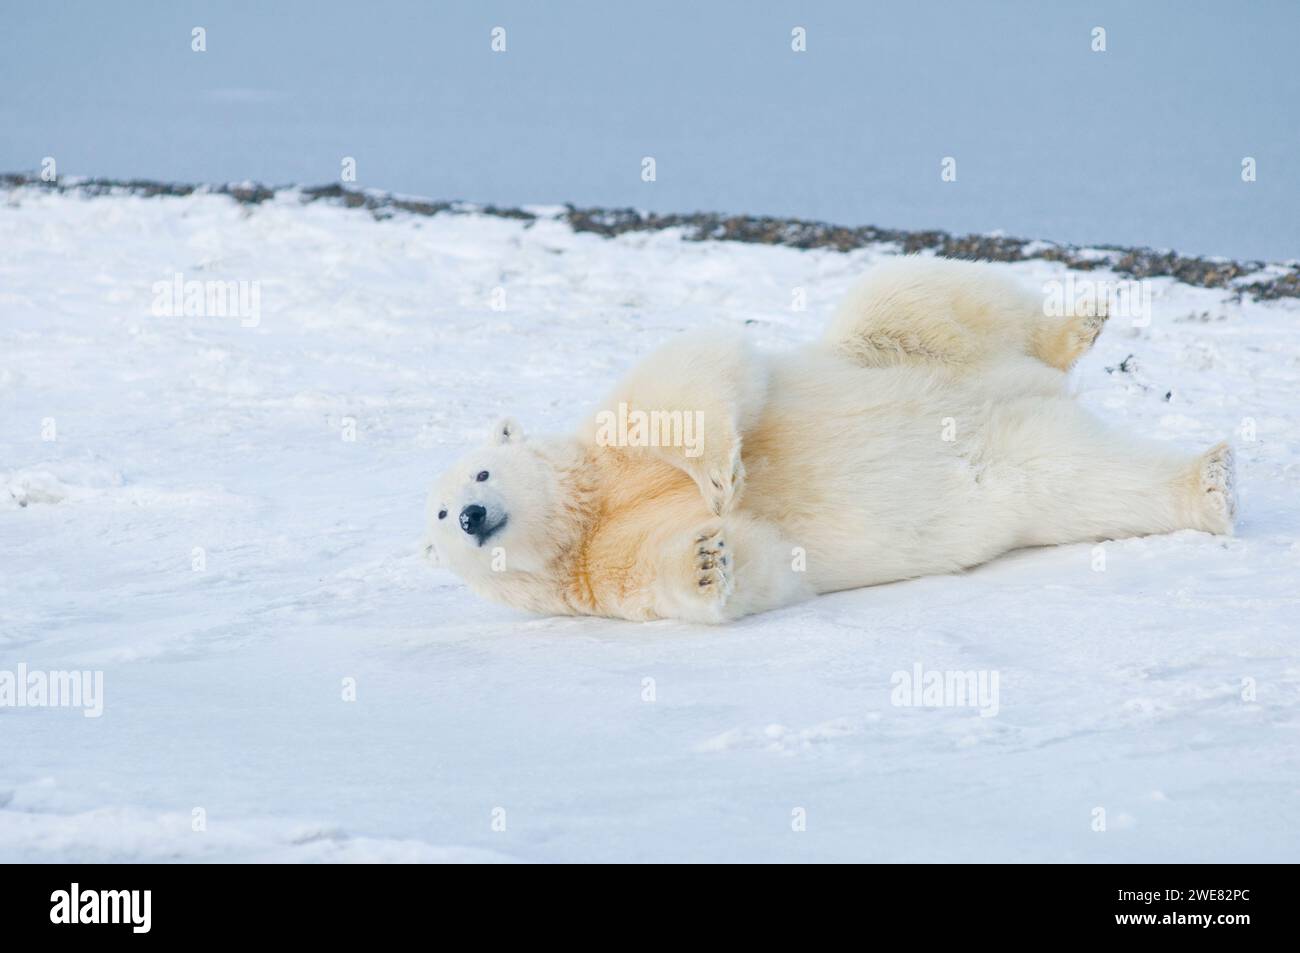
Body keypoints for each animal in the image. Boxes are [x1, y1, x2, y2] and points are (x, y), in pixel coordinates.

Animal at [424, 255, 1235, 624]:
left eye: (481, 474)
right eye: (436, 517)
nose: (468, 517)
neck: (586, 513)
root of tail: (1023, 387)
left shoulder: (604, 445)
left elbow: (686, 376)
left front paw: (717, 475)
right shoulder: (600, 577)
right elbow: (752, 566)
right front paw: (706, 557)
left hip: (896, 347)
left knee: (915, 296)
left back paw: (1078, 322)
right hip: (1018, 463)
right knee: (1081, 479)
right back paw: (1210, 485)